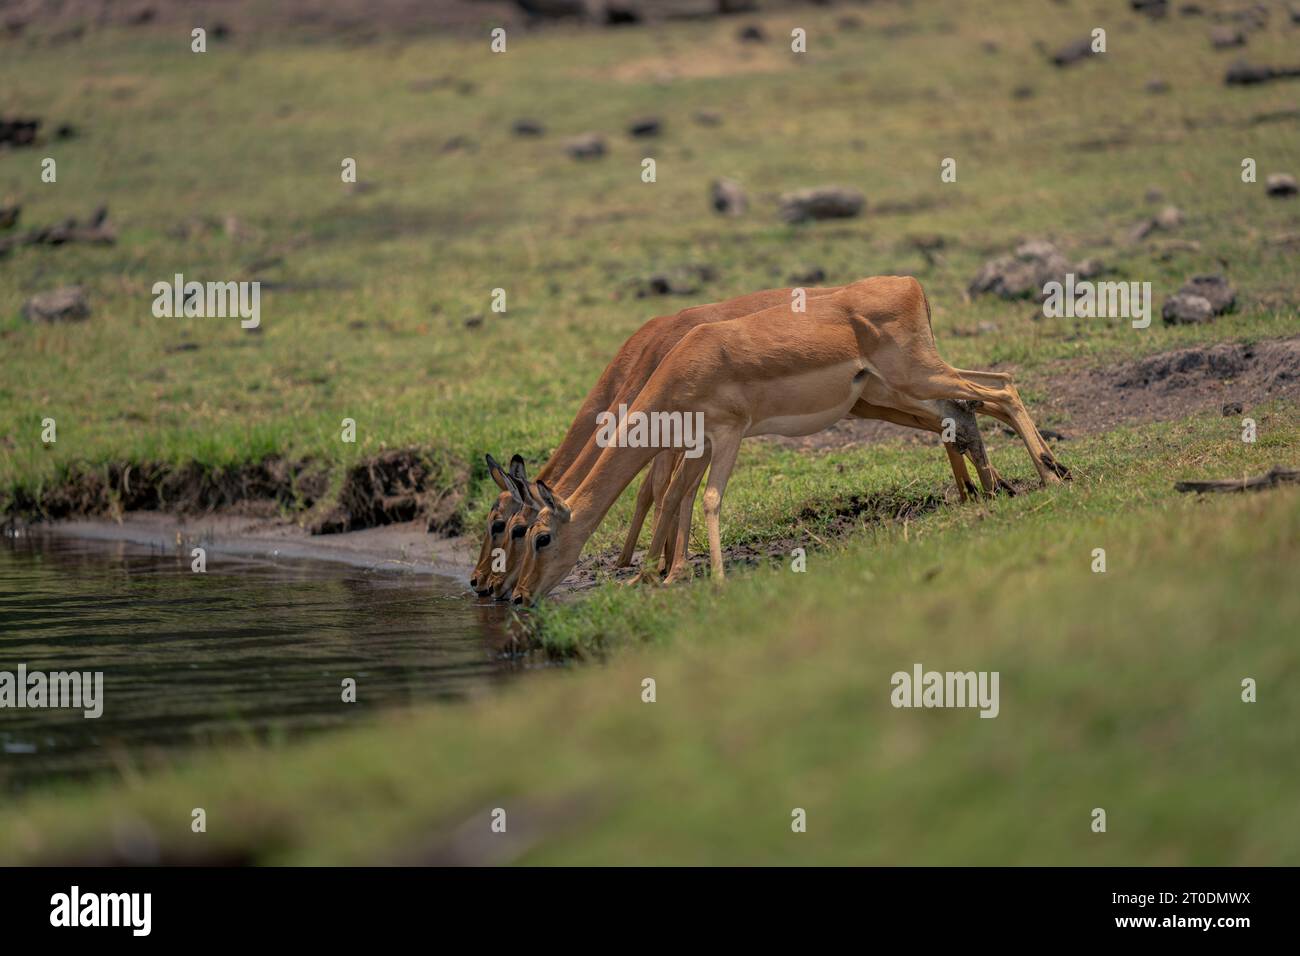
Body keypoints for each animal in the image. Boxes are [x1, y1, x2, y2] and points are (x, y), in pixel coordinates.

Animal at [511, 276, 1065, 604]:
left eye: (538, 535)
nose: (513, 596)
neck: (684, 362)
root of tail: (910, 284)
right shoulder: (697, 443)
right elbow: (673, 497)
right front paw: (656, 576)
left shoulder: (727, 433)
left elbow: (707, 498)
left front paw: (711, 579)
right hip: (906, 386)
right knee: (970, 407)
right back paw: (1010, 486)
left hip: (918, 378)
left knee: (1001, 387)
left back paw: (1053, 476)